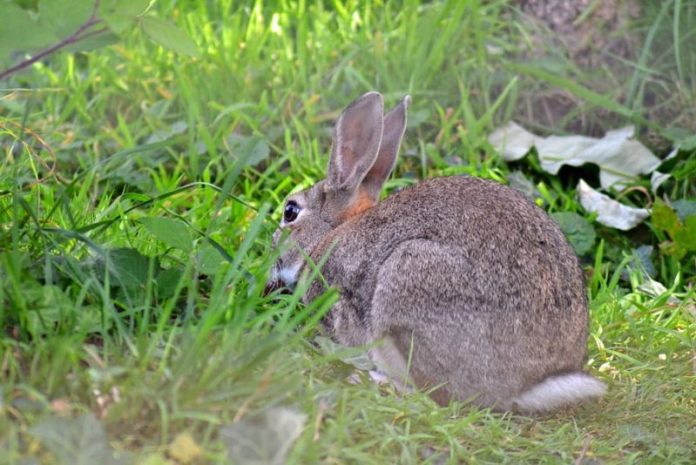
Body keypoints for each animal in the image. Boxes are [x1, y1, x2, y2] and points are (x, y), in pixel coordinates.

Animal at [269, 92, 606, 412]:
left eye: (290, 211)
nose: (272, 266)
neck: (329, 236)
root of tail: (526, 387)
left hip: (407, 282)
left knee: (438, 396)